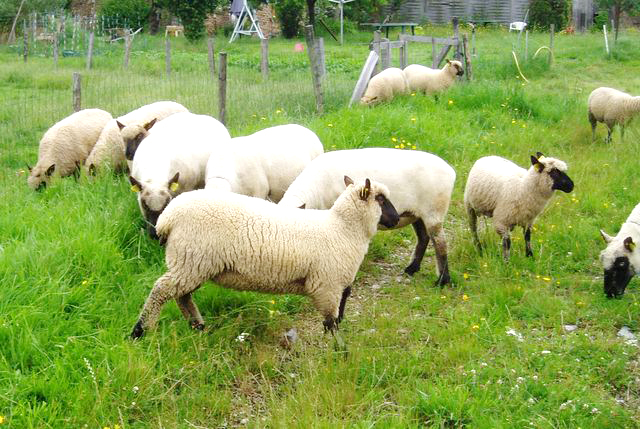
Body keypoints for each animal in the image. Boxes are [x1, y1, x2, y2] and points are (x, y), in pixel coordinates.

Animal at [130, 177, 400, 339]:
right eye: (381, 199)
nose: (397, 219)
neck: (342, 228)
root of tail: (167, 218)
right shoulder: (327, 285)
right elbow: (331, 324)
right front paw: (338, 352)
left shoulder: (335, 285)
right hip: (191, 260)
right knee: (161, 291)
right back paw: (140, 331)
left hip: (194, 264)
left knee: (182, 296)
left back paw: (198, 327)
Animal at [278, 148, 456, 285]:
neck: (315, 189)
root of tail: (451, 172)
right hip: (417, 213)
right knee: (424, 238)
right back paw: (412, 269)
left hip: (434, 212)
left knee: (440, 243)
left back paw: (442, 281)